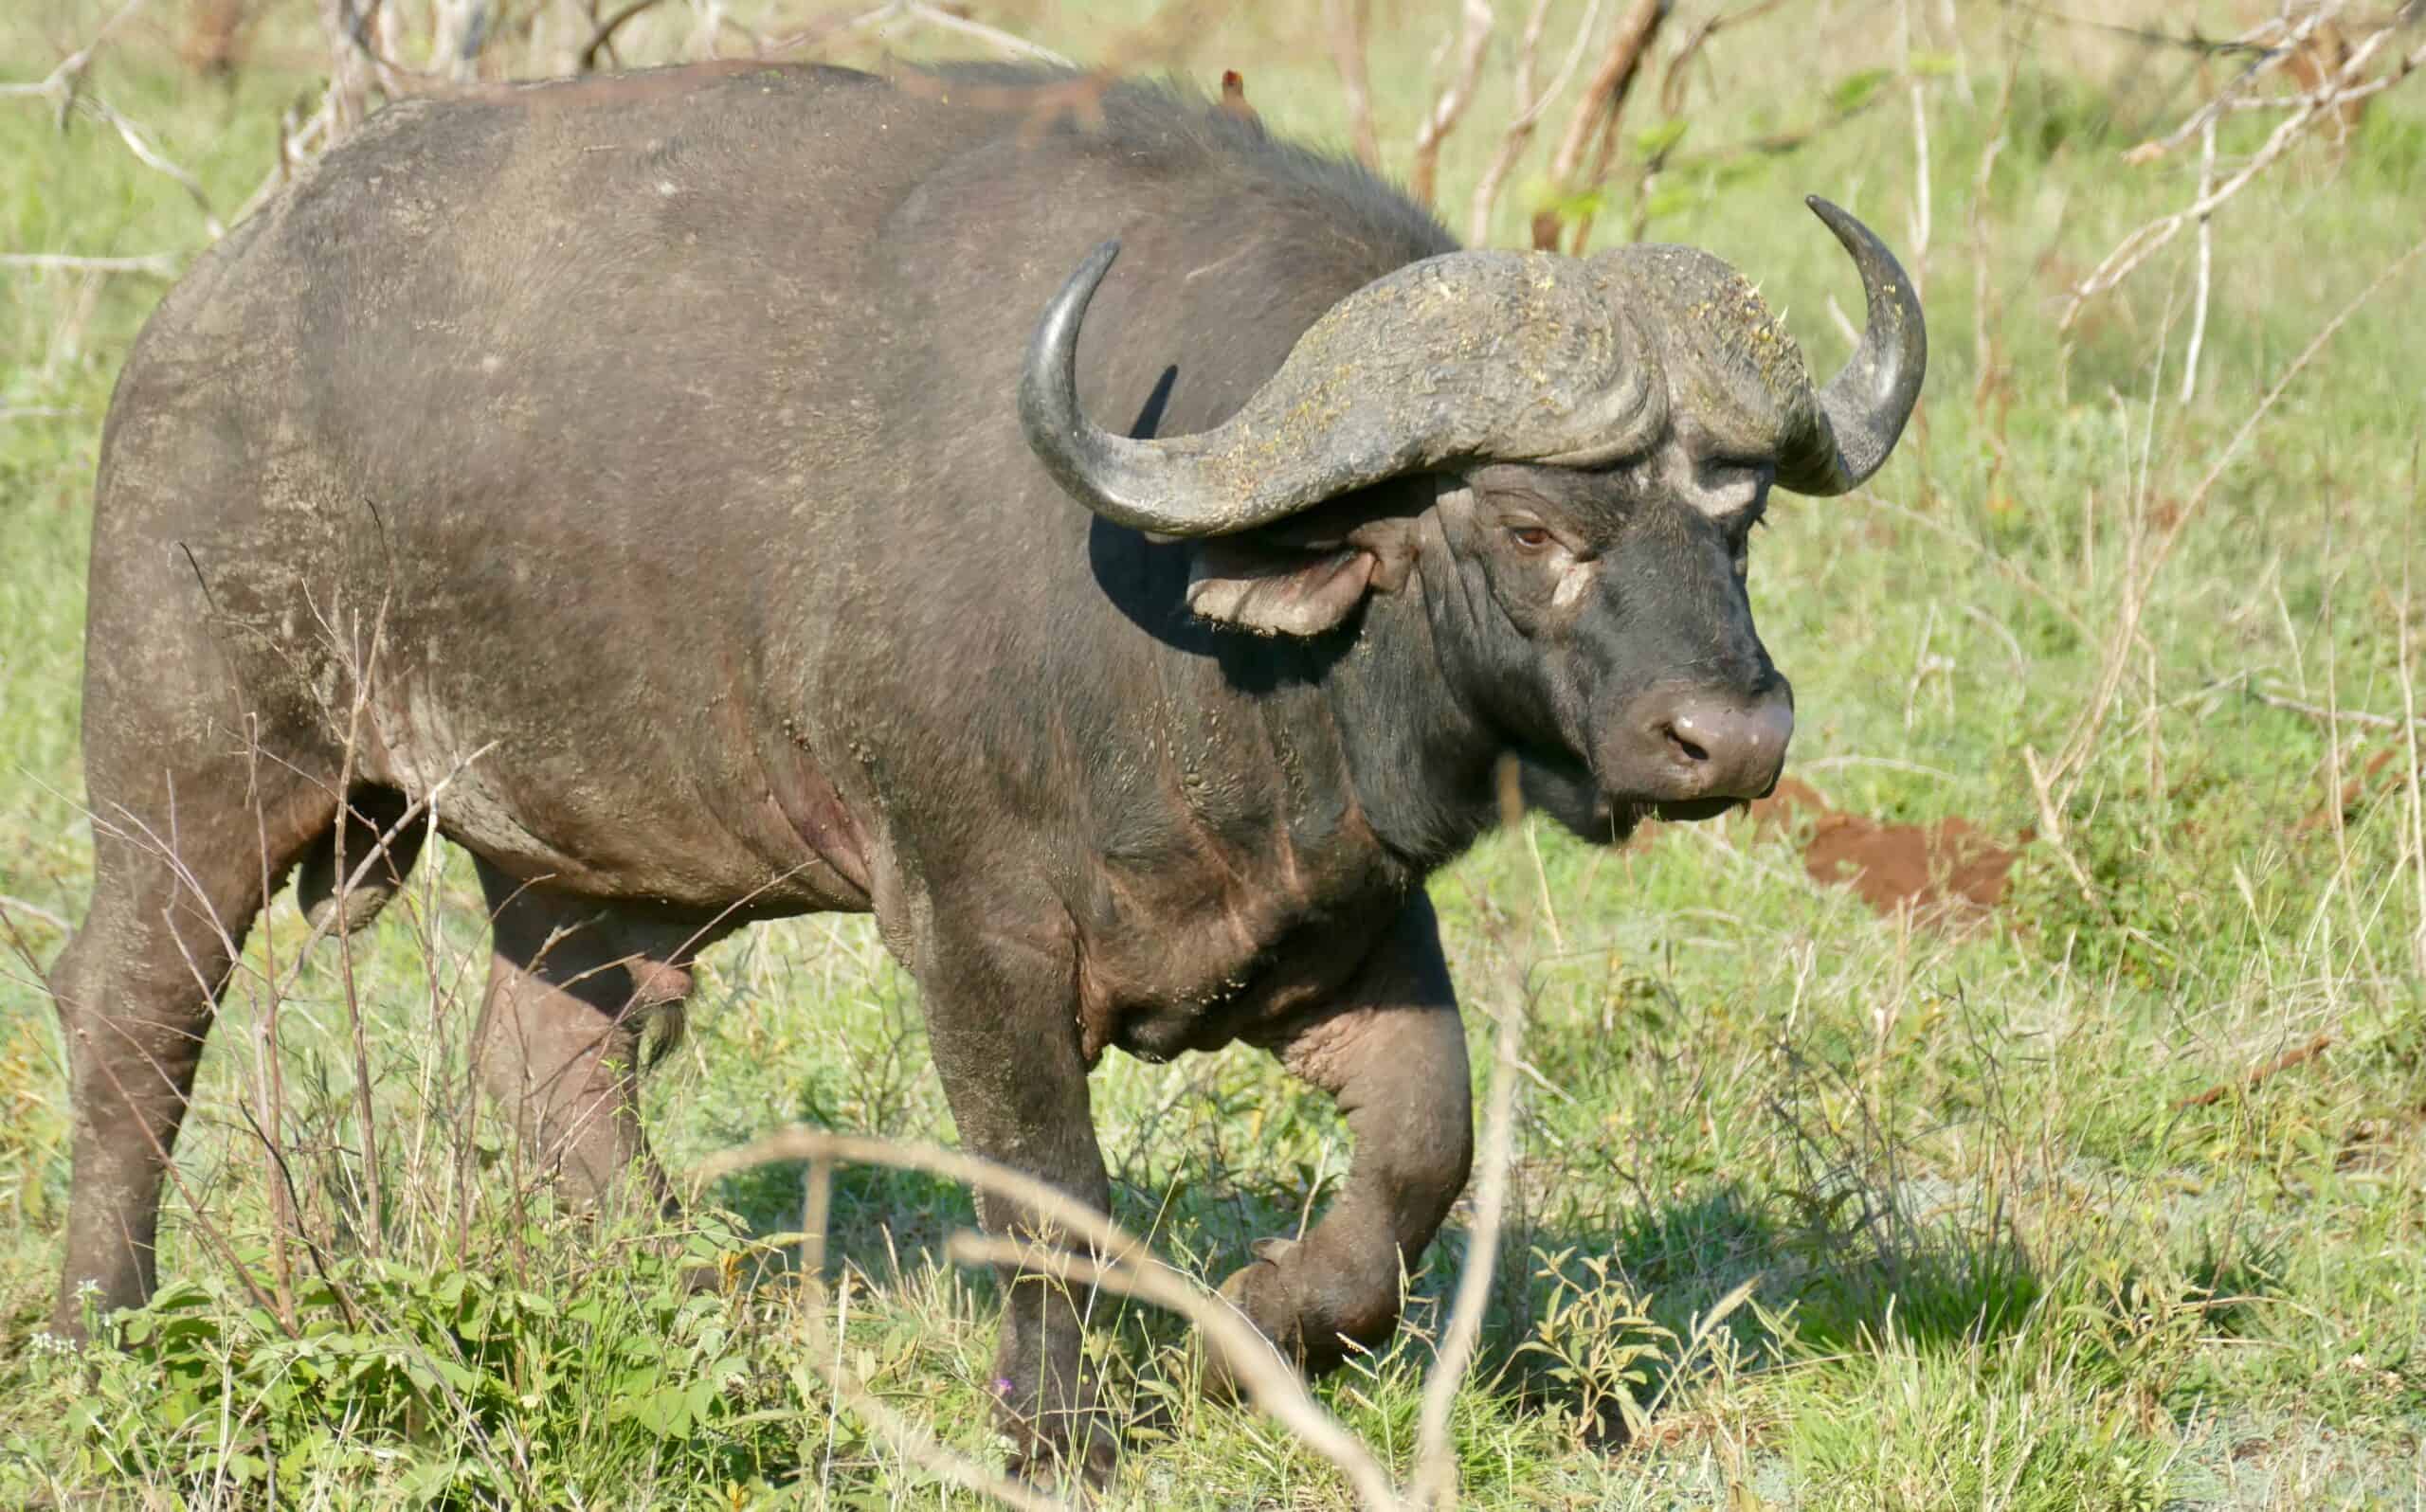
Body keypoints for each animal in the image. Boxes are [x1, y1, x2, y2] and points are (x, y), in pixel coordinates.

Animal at [49, 61, 1922, 1473]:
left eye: (1740, 519)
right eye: (1530, 524)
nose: (1734, 737)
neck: (1188, 639)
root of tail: (205, 310)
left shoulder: (1341, 922)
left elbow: (1423, 1156)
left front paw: (1258, 1322)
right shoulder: (974, 932)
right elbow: (1055, 1192)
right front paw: (1056, 1427)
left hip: (583, 865)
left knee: (546, 1068)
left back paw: (700, 1309)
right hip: (193, 769)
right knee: (133, 1016)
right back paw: (100, 1323)